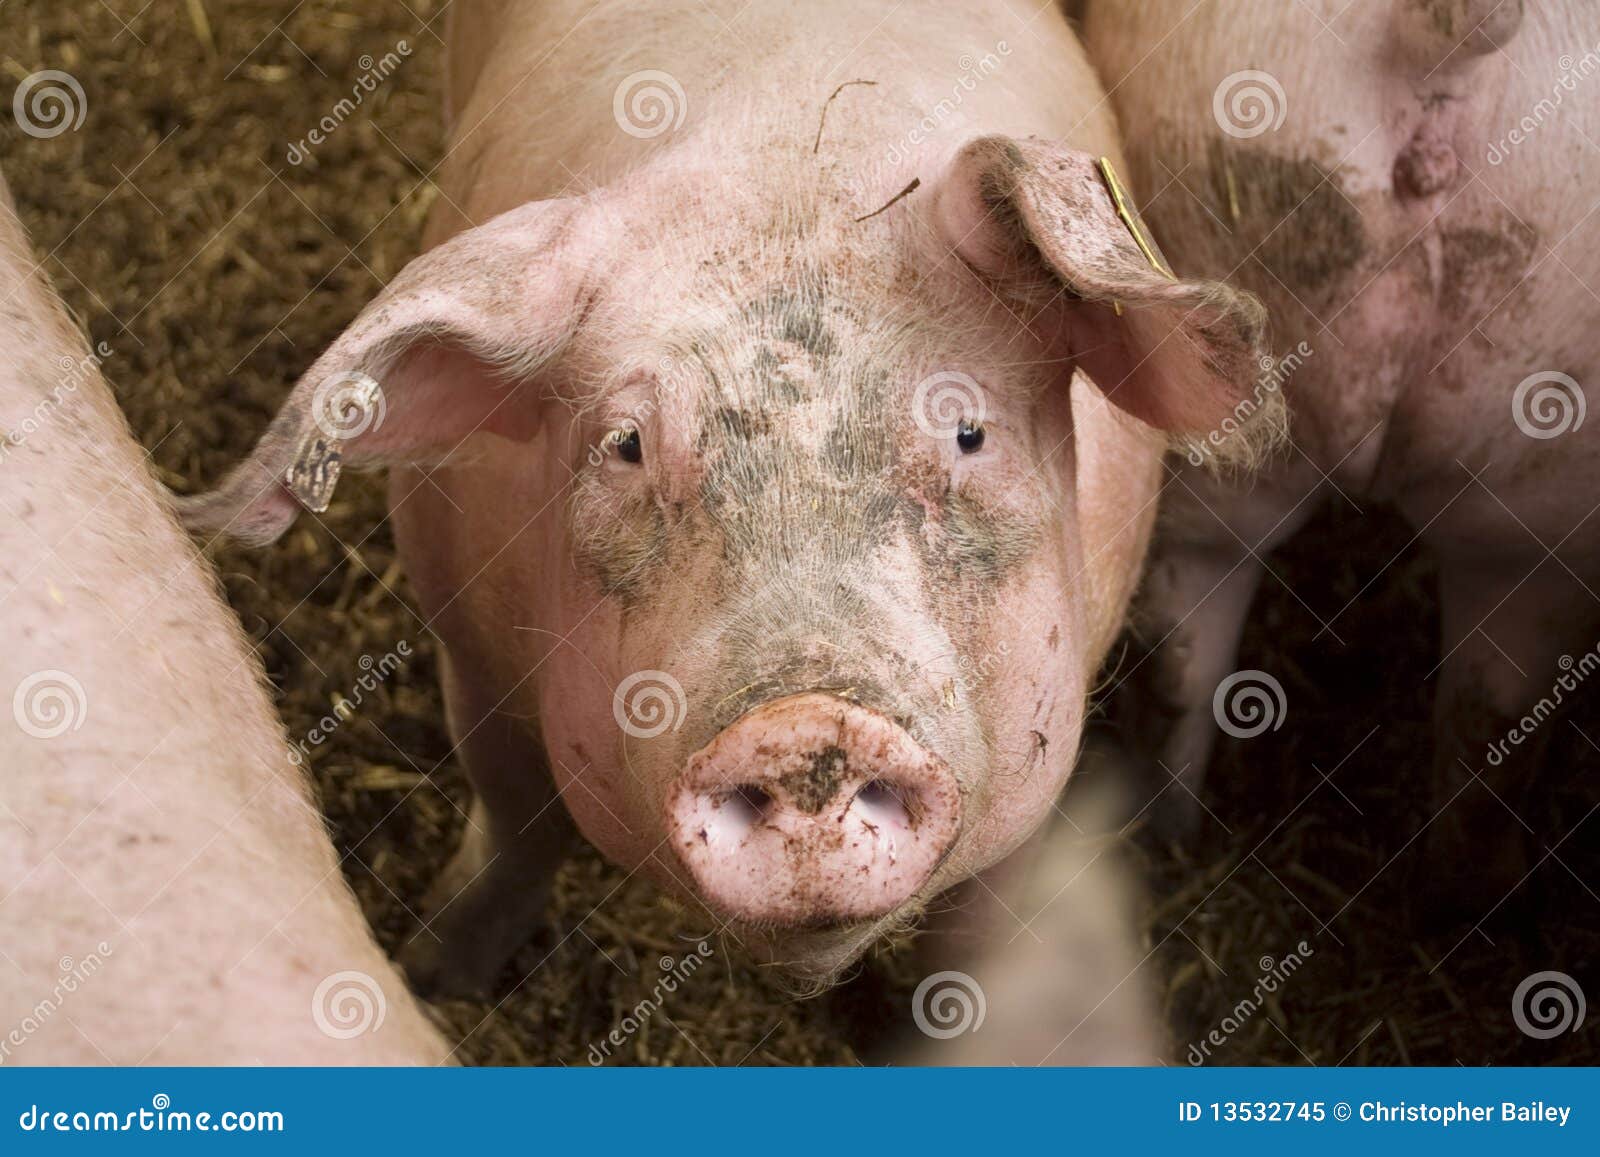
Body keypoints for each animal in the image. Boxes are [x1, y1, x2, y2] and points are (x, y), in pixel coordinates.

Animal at [180, 0, 1269, 997]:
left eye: (969, 432)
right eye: (625, 445)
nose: (808, 722)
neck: (797, 151)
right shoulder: (467, 642)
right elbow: (516, 817)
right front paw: (437, 979)